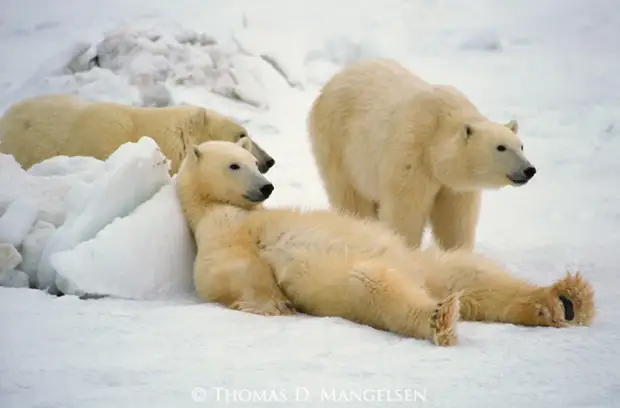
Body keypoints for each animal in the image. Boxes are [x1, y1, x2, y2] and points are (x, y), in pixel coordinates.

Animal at [176, 139, 596, 346]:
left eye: (253, 162)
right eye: (234, 165)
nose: (266, 186)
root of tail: (424, 282)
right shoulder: (219, 231)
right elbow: (226, 270)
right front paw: (274, 304)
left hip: (424, 262)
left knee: (473, 274)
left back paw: (565, 299)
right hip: (353, 279)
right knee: (375, 285)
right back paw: (440, 316)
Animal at [308, 58, 536, 250]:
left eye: (521, 146)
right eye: (500, 147)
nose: (529, 169)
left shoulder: (455, 187)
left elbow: (455, 220)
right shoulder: (412, 157)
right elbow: (406, 212)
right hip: (338, 145)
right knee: (351, 199)